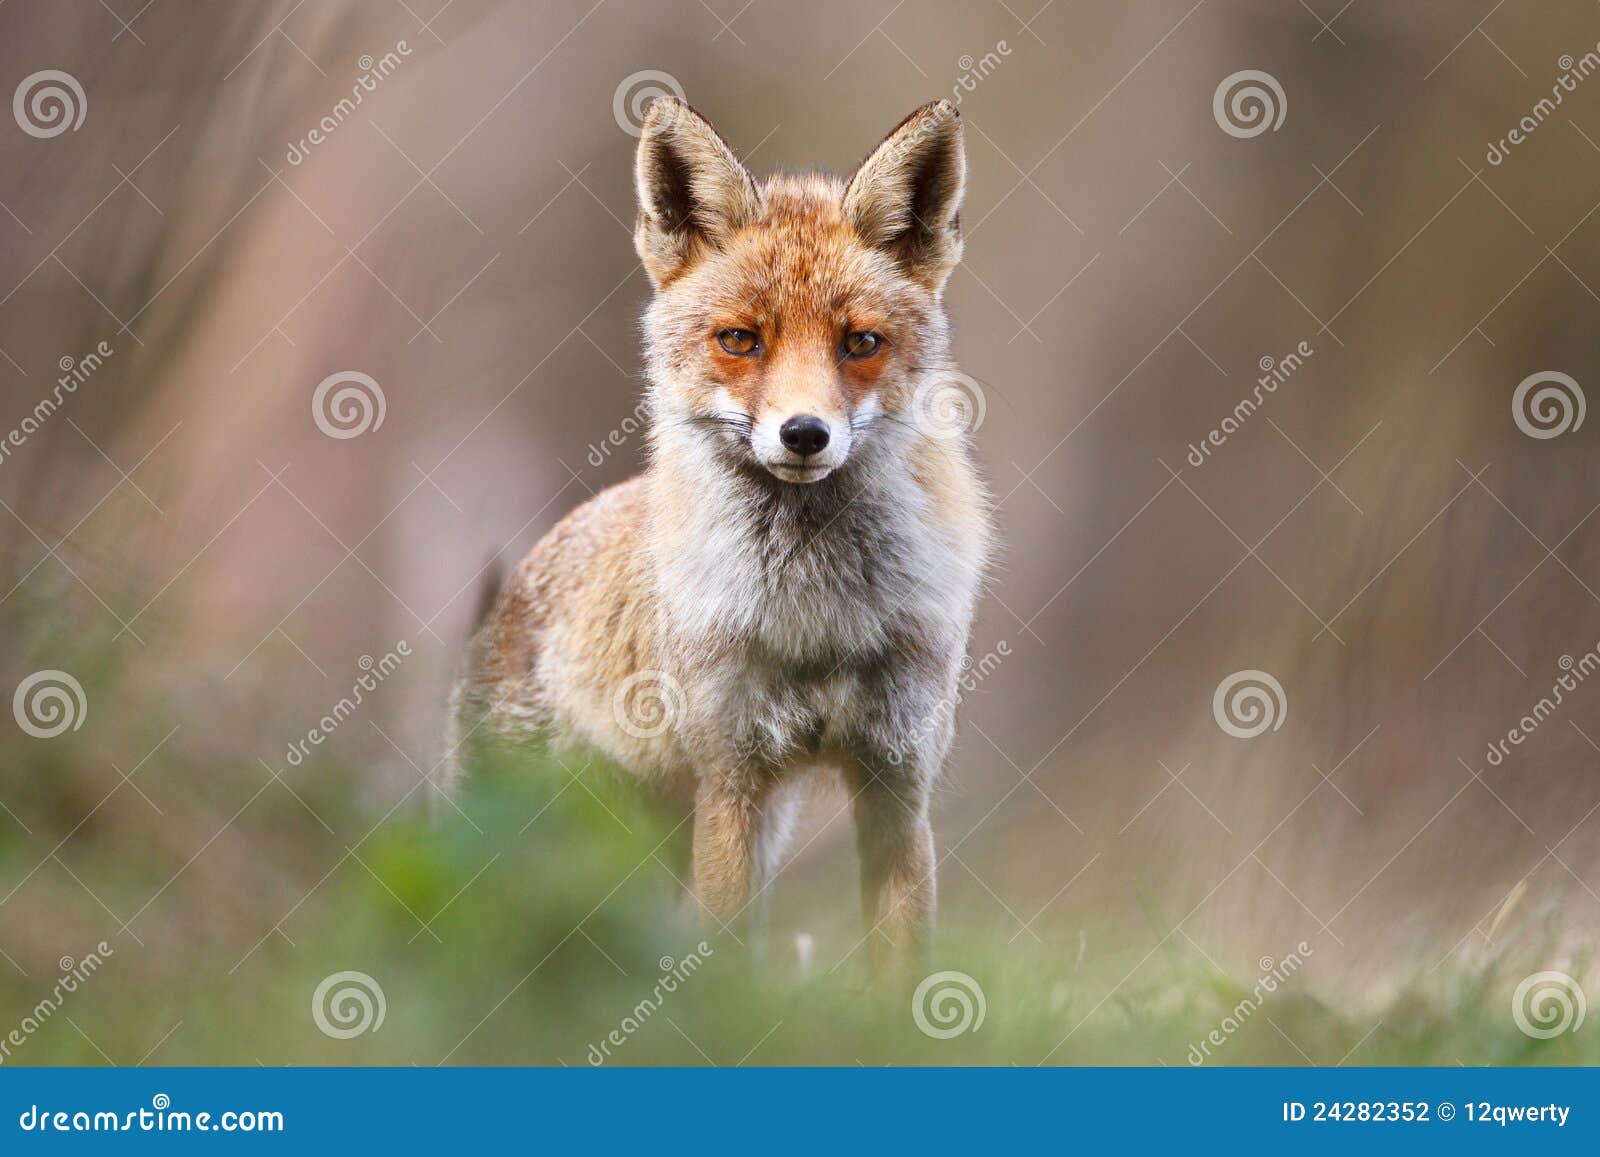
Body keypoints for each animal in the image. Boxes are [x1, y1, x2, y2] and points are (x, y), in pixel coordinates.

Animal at [448, 98, 991, 977]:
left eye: (860, 343)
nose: (804, 433)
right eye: (741, 339)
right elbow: (725, 954)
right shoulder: (732, 777)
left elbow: (899, 976)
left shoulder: (896, 784)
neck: (814, 617)